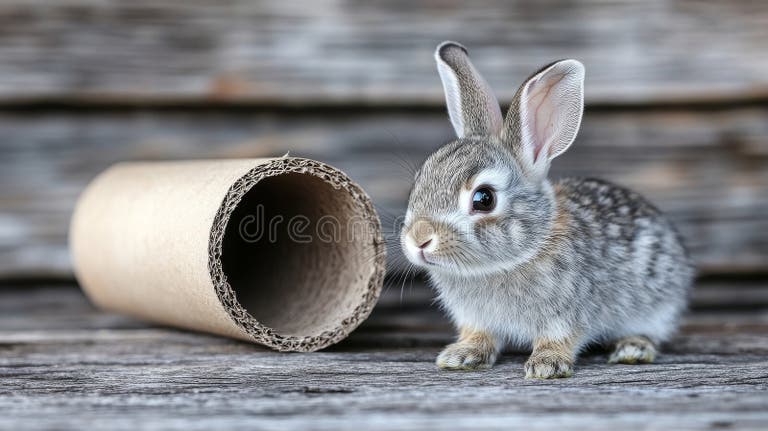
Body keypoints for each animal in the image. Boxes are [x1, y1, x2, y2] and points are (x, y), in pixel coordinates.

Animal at [400, 41, 694, 379]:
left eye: (484, 199)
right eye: (419, 180)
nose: (419, 239)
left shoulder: (568, 312)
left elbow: (559, 338)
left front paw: (547, 365)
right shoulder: (475, 319)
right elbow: (479, 336)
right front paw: (461, 356)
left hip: (657, 305)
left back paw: (633, 349)